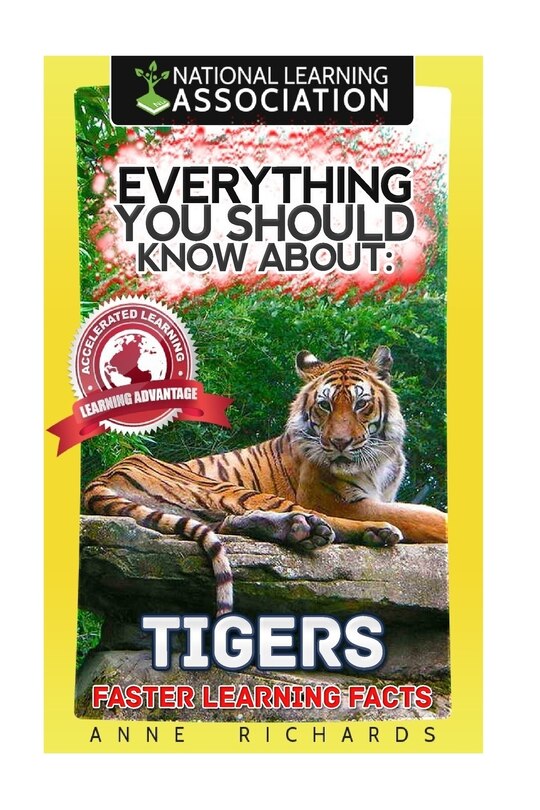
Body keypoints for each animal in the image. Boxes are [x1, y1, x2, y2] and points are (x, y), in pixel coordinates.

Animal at [84, 346, 447, 616]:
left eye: (361, 403)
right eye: (325, 405)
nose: (340, 443)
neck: (378, 458)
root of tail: (98, 479)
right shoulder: (337, 500)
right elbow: (422, 516)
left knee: (230, 523)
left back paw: (301, 531)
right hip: (225, 488)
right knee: (315, 518)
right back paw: (367, 532)